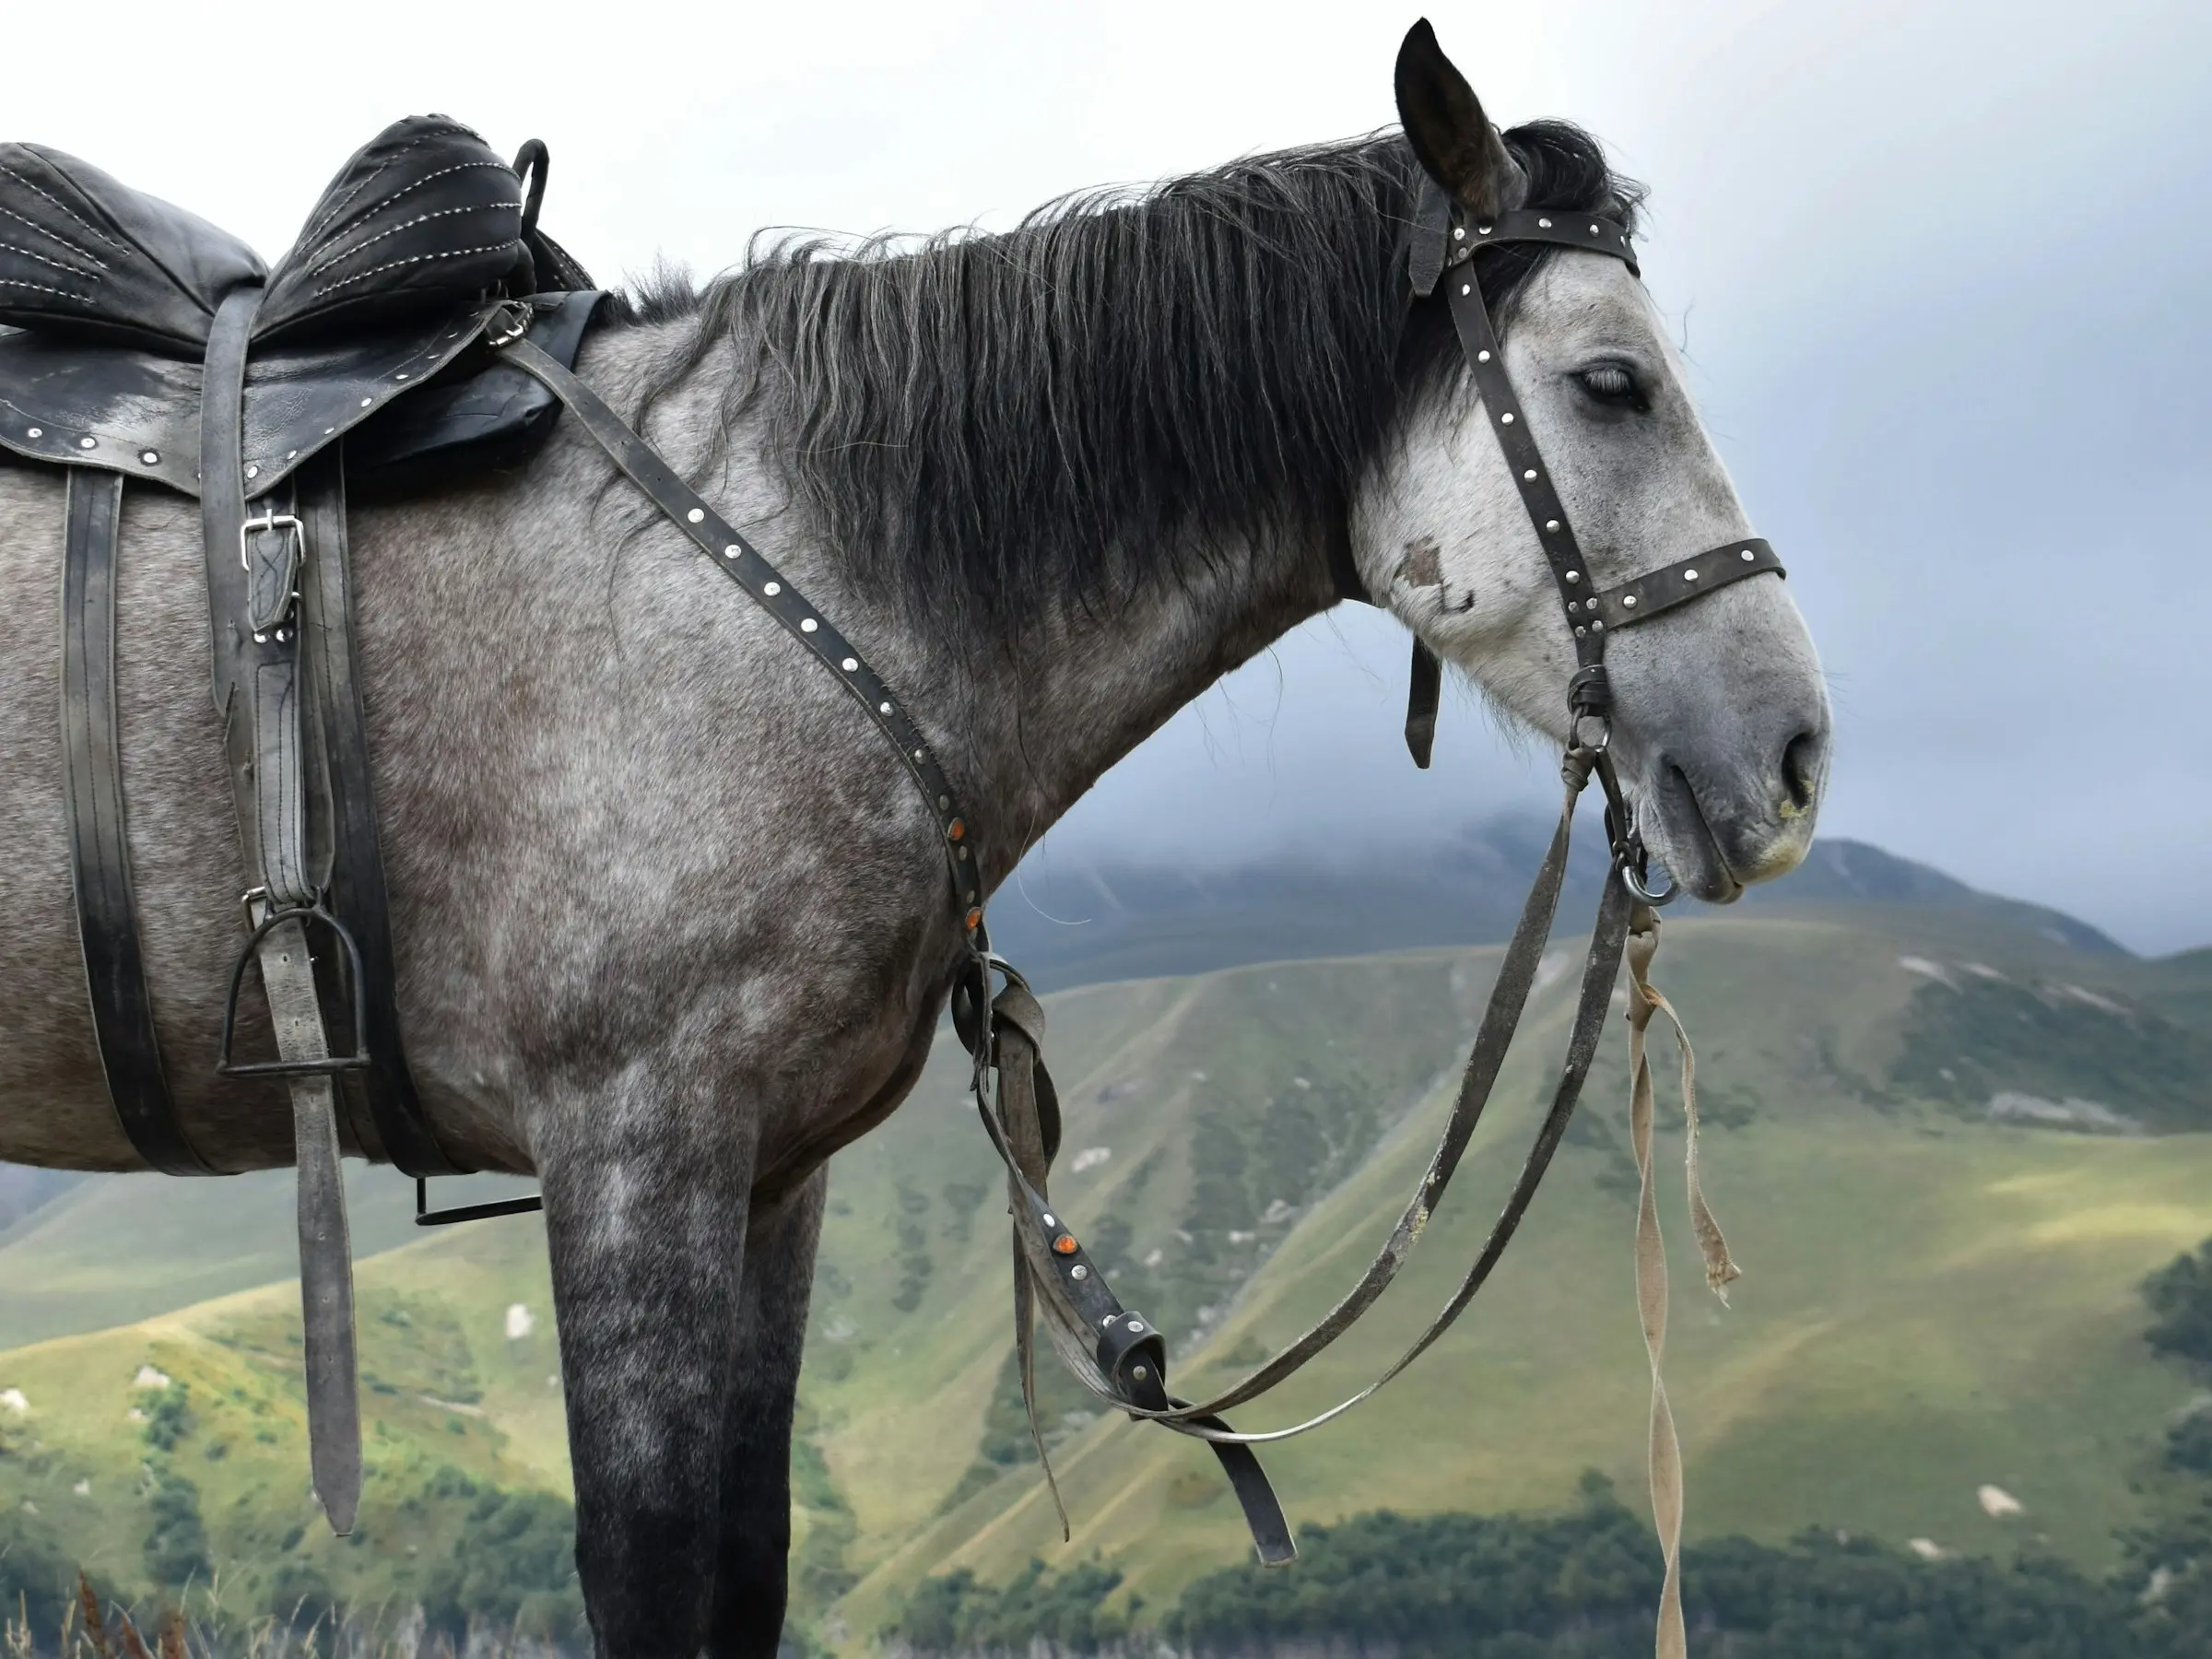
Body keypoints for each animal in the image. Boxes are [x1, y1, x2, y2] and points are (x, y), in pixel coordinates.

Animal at [0, 24, 1828, 1657]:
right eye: (1612, 385)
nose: (1796, 758)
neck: (790, 579)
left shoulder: (772, 1174)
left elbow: (745, 1563)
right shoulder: (631, 1145)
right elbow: (648, 1569)